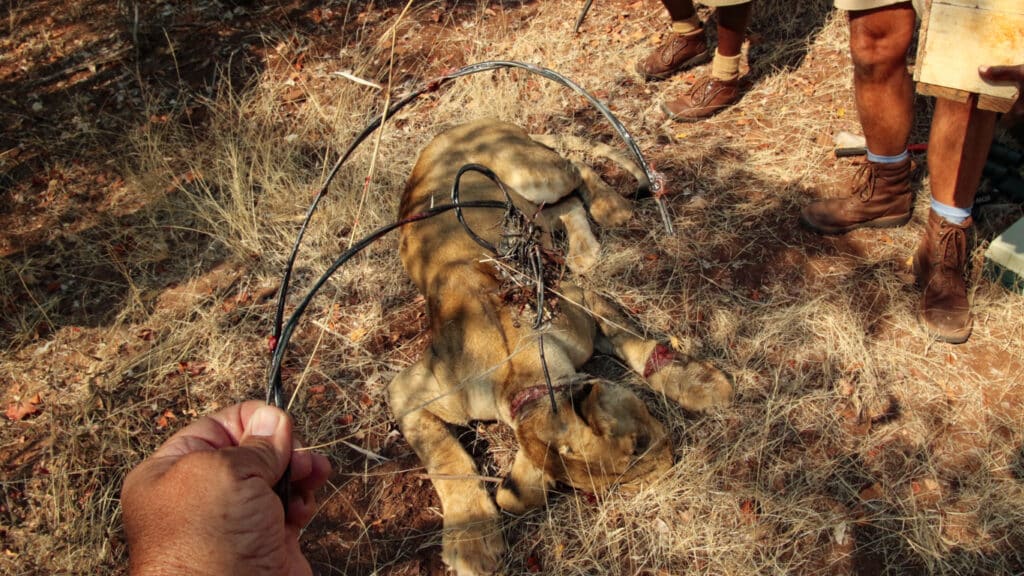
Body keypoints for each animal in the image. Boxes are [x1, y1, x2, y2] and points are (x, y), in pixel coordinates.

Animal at [389, 119, 732, 576]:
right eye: (638, 449)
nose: (671, 459)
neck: (517, 370)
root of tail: (460, 125)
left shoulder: (580, 301)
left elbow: (640, 348)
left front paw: (700, 384)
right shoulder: (407, 392)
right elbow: (447, 460)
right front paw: (471, 539)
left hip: (532, 173)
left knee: (576, 166)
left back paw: (612, 208)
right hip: (529, 204)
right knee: (563, 208)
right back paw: (585, 251)